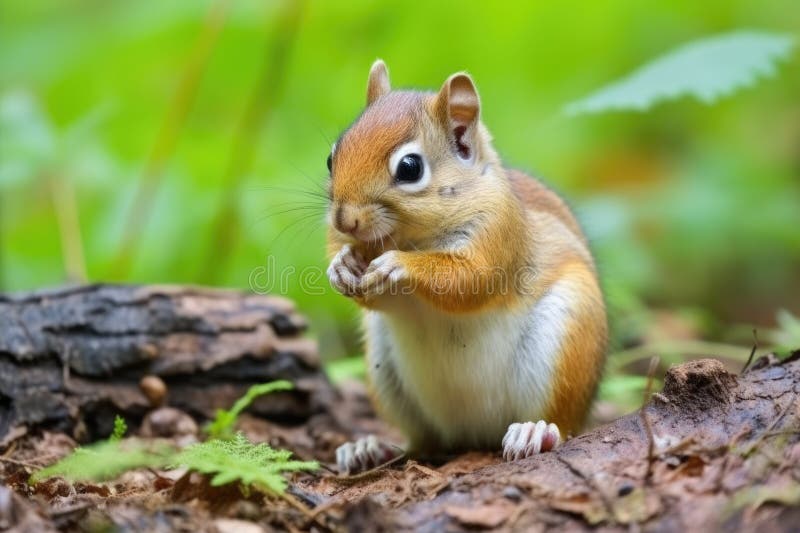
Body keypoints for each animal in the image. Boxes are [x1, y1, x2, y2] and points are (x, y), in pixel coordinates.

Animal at [326, 60, 607, 474]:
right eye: (332, 157)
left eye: (410, 167)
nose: (344, 220)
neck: (412, 237)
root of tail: (471, 434)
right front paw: (341, 264)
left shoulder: (498, 235)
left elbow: (468, 280)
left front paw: (398, 265)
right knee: (421, 441)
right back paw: (369, 449)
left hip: (568, 339)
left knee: (563, 423)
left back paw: (536, 432)